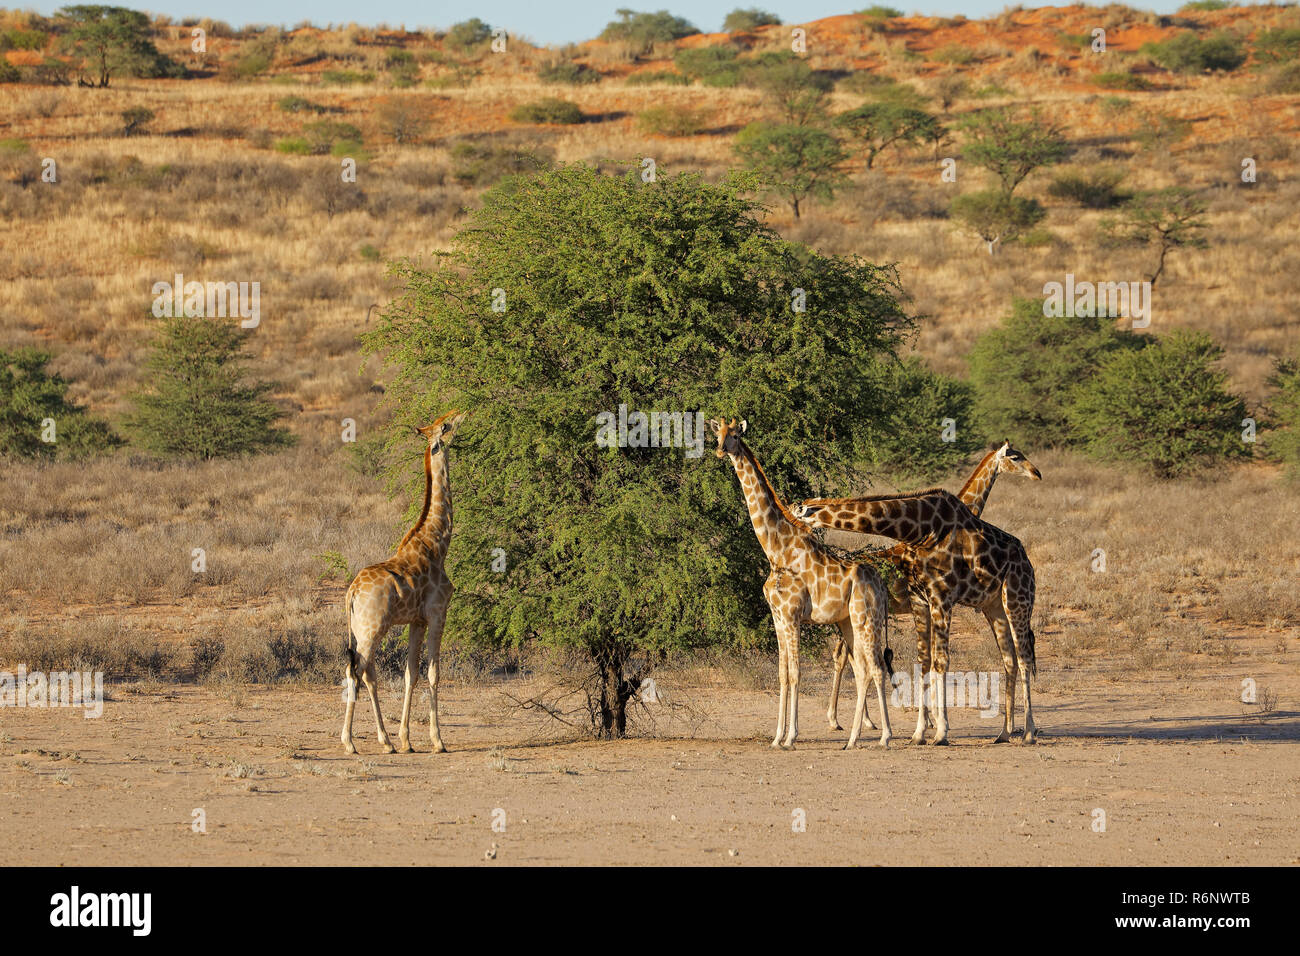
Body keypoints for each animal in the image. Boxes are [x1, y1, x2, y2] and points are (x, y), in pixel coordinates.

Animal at [341, 410, 466, 755]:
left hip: (361, 631)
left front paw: (407, 739)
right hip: (372, 629)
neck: (437, 544)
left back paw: (386, 742)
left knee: (367, 673)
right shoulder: (437, 614)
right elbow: (433, 673)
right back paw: (349, 742)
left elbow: (411, 674)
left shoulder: (416, 621)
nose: (462, 413)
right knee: (355, 671)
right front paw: (438, 741)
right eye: (446, 426)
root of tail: (351, 593)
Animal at [707, 418, 894, 749]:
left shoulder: (793, 615)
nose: (719, 450)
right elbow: (782, 674)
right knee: (861, 671)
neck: (775, 550)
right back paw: (852, 740)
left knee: (876, 667)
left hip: (866, 618)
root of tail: (881, 586)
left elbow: (795, 673)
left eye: (736, 435)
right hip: (847, 622)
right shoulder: (778, 617)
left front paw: (791, 737)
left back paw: (884, 736)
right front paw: (776, 737)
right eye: (718, 433)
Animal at [792, 486, 1038, 746]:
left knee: (1024, 658)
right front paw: (919, 733)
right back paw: (1004, 733)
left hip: (1017, 598)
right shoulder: (920, 598)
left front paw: (941, 733)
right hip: (993, 606)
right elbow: (924, 662)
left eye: (800, 516)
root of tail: (1026, 560)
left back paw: (1029, 733)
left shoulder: (942, 596)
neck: (921, 529)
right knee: (1009, 660)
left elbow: (941, 661)